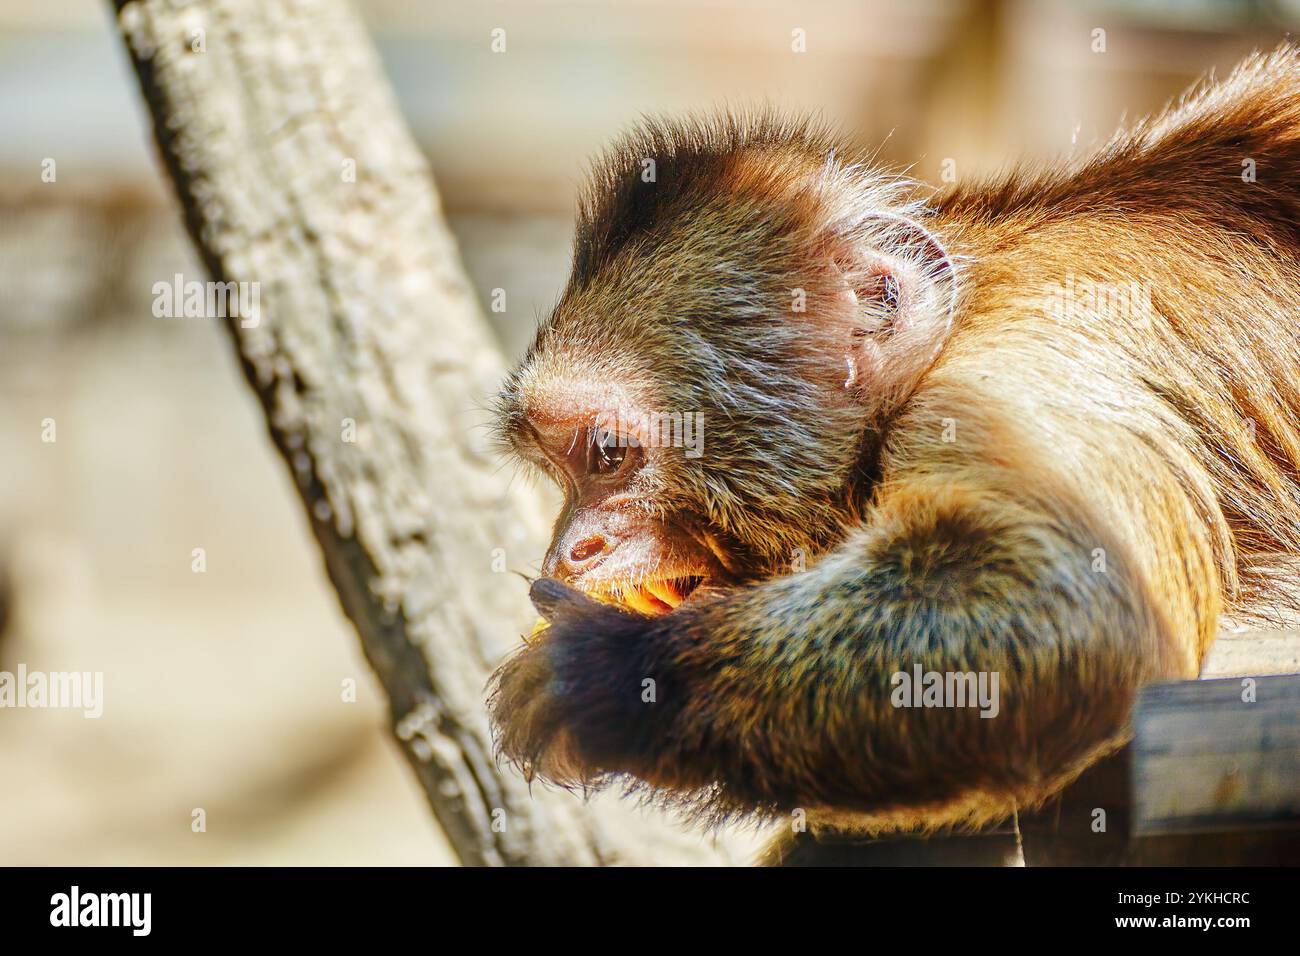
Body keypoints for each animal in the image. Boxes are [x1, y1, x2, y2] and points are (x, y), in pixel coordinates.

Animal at [487, 45, 1300, 847]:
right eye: (561, 469)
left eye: (606, 454)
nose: (571, 550)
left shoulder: (1028, 347)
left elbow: (1079, 609)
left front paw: (611, 677)